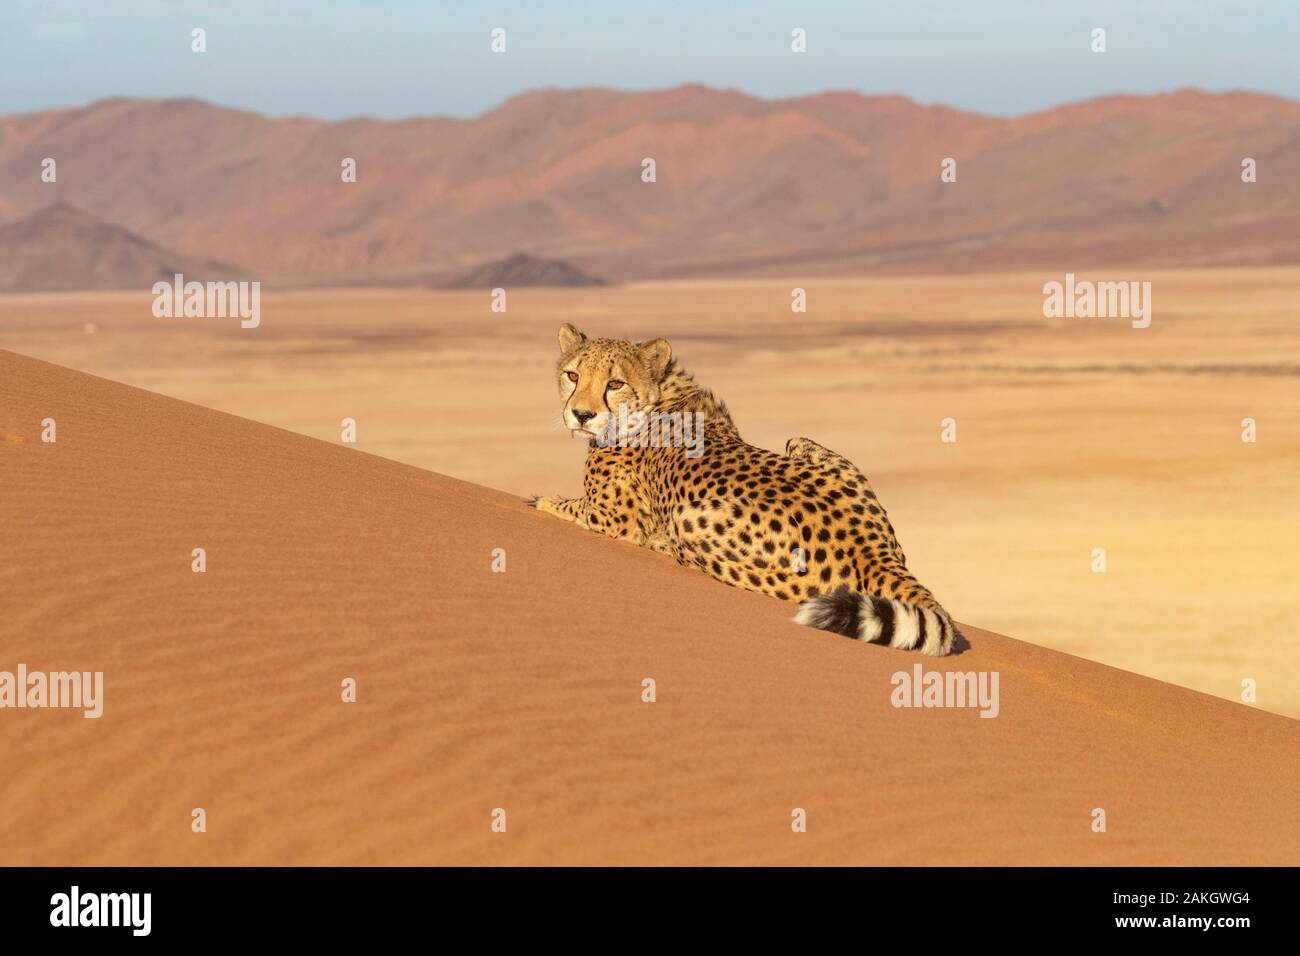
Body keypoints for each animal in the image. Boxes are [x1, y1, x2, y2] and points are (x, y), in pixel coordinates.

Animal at [529, 324, 958, 655]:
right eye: (572, 376)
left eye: (615, 383)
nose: (581, 414)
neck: (659, 396)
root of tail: (873, 550)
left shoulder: (617, 519)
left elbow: (564, 505)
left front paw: (541, 499)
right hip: (800, 443)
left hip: (692, 517)